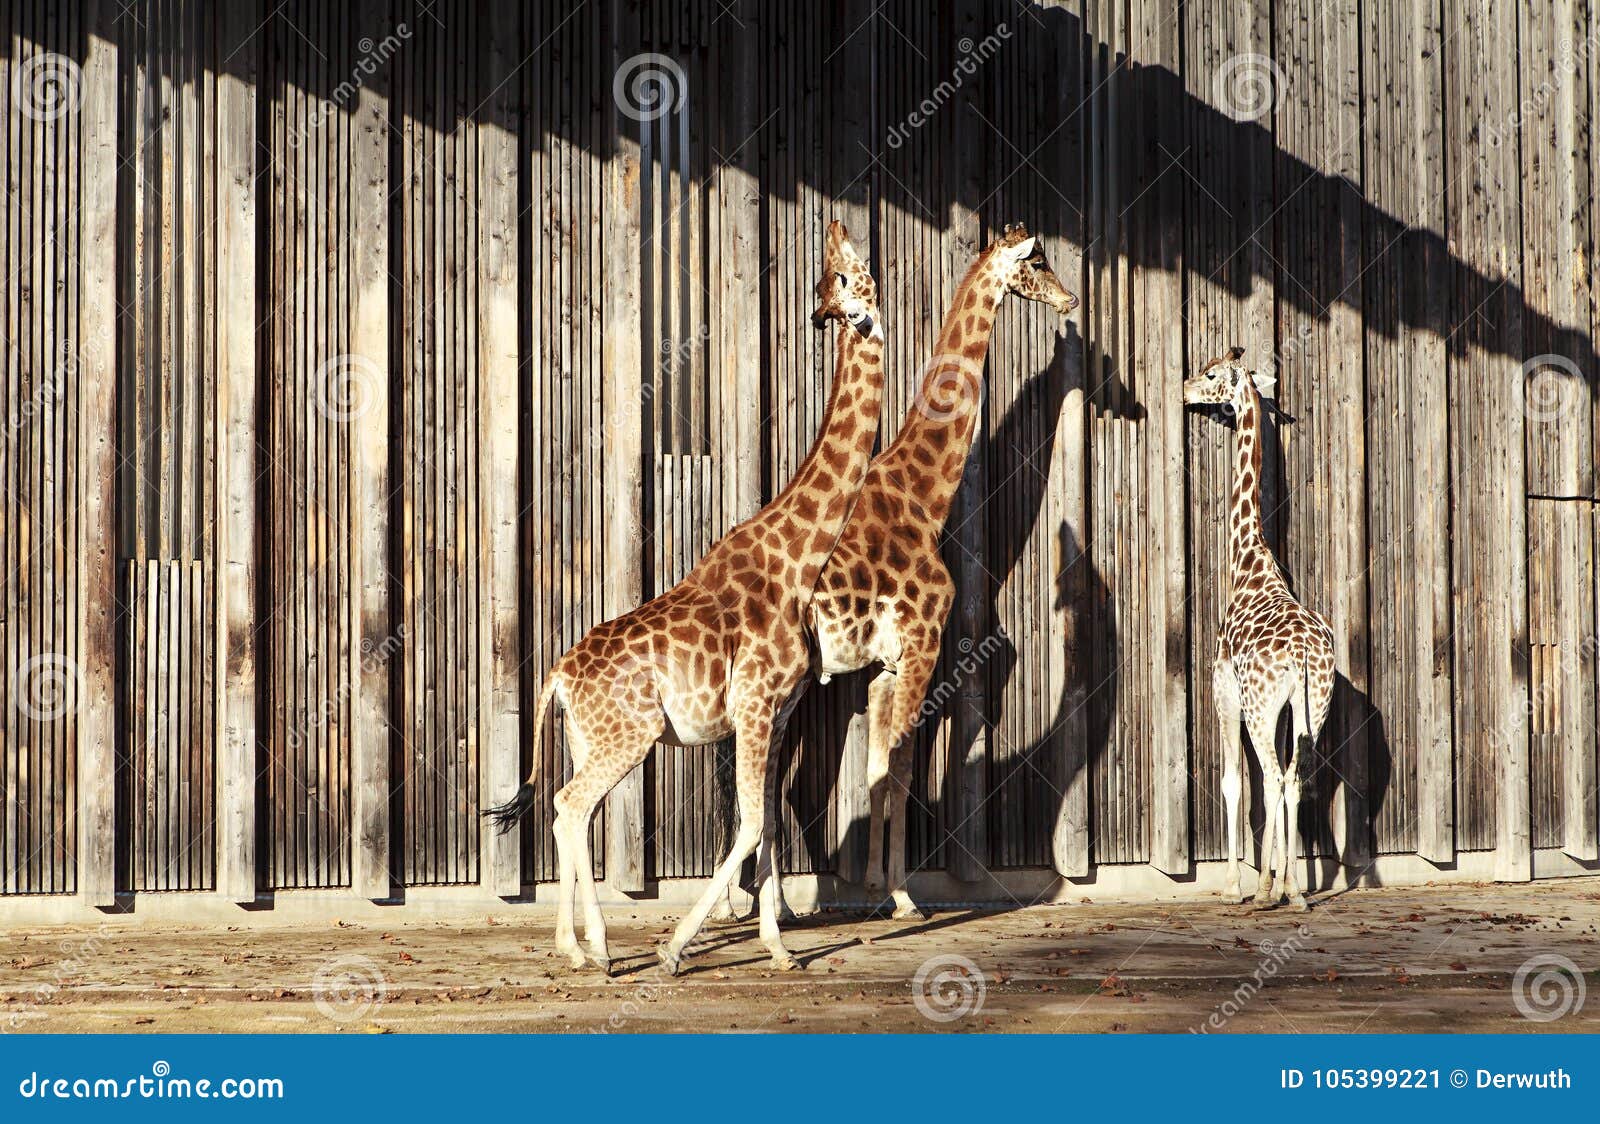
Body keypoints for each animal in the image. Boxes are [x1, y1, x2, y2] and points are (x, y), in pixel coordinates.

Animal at [485, 221, 886, 974]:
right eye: (850, 275)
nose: (843, 227)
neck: (799, 561)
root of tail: (556, 676)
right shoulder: (755, 705)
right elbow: (753, 822)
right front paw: (676, 948)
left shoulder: (775, 714)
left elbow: (764, 821)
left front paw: (777, 949)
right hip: (628, 737)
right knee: (571, 806)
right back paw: (598, 949)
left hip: (586, 738)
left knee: (568, 810)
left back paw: (574, 946)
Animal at [804, 223, 1078, 919]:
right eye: (1038, 259)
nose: (1069, 299)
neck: (923, 496)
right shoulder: (924, 648)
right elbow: (903, 768)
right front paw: (902, 896)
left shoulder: (884, 666)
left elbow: (880, 770)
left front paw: (877, 886)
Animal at [1182, 346, 1335, 912]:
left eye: (1209, 373)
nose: (1184, 390)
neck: (1247, 559)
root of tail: (1303, 655)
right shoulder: (1291, 707)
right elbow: (1279, 785)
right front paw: (1277, 879)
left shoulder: (1223, 686)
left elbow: (1233, 782)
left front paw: (1234, 886)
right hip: (1315, 702)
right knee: (1293, 778)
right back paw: (1292, 890)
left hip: (1259, 703)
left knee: (1269, 776)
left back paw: (1269, 889)